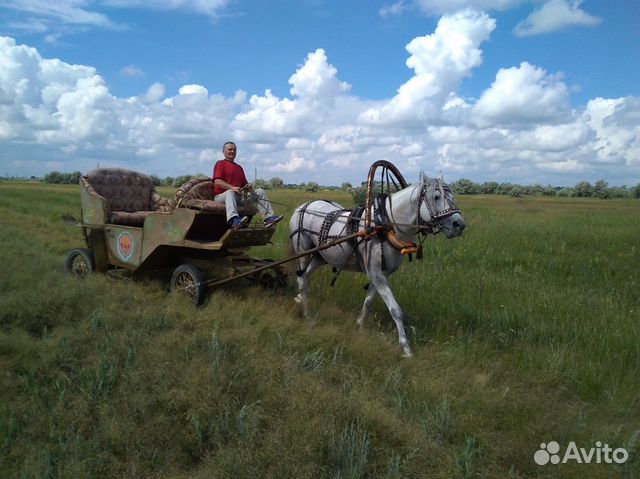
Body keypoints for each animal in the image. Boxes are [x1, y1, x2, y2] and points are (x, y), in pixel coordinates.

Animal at [288, 175, 465, 357]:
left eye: (453, 197)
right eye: (436, 197)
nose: (459, 225)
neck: (385, 225)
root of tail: (301, 207)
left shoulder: (381, 274)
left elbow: (368, 302)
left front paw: (359, 324)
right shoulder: (377, 275)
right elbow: (395, 310)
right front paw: (406, 348)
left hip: (320, 256)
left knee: (305, 276)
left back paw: (300, 299)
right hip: (303, 251)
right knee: (302, 279)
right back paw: (308, 314)